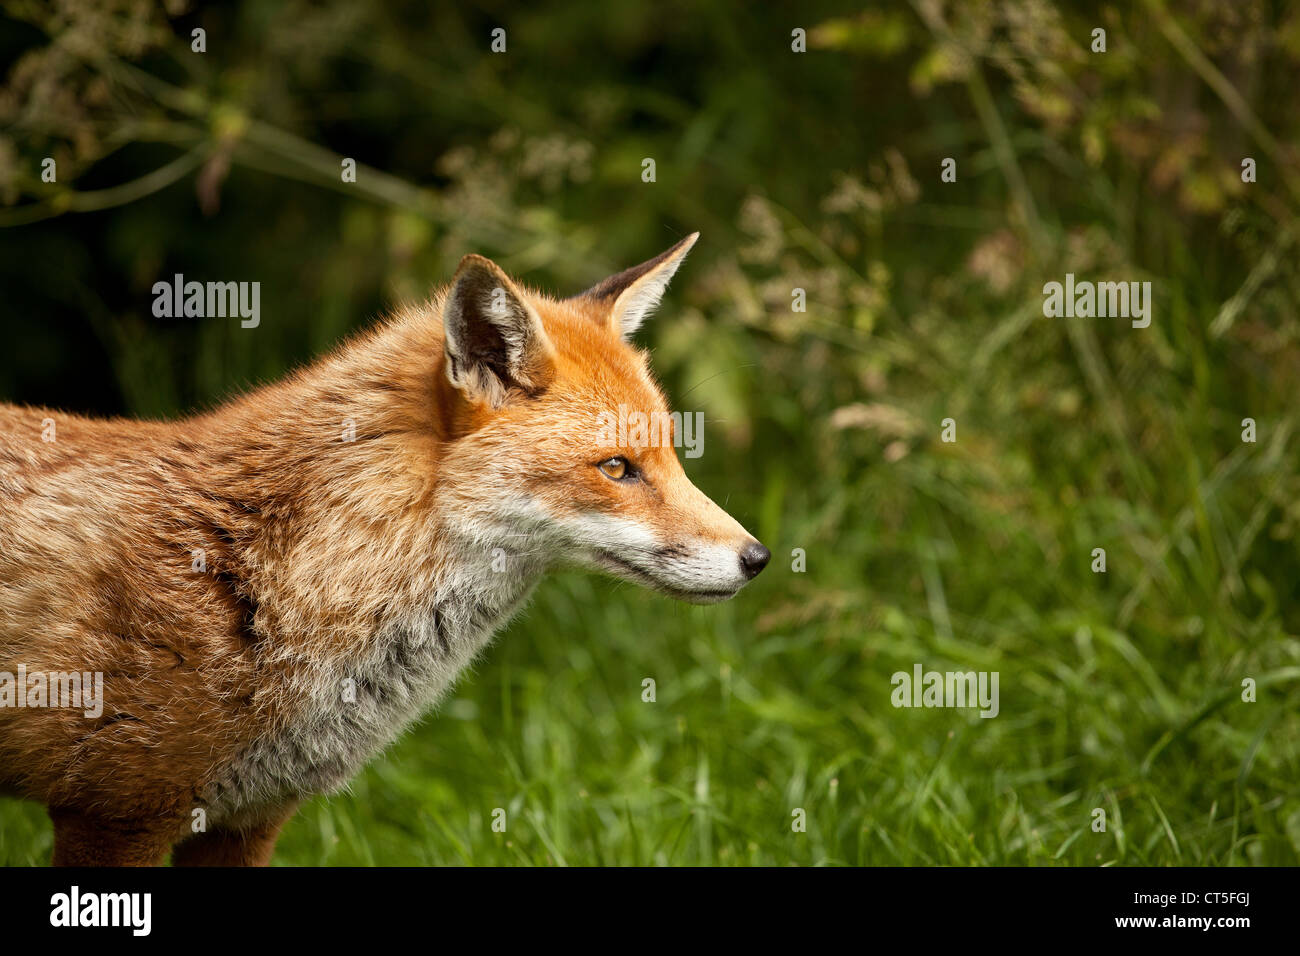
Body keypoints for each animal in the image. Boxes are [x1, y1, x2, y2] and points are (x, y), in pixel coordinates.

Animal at [0, 232, 770, 866]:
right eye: (617, 468)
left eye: (672, 454)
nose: (757, 558)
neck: (269, 585)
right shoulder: (114, 816)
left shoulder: (247, 820)